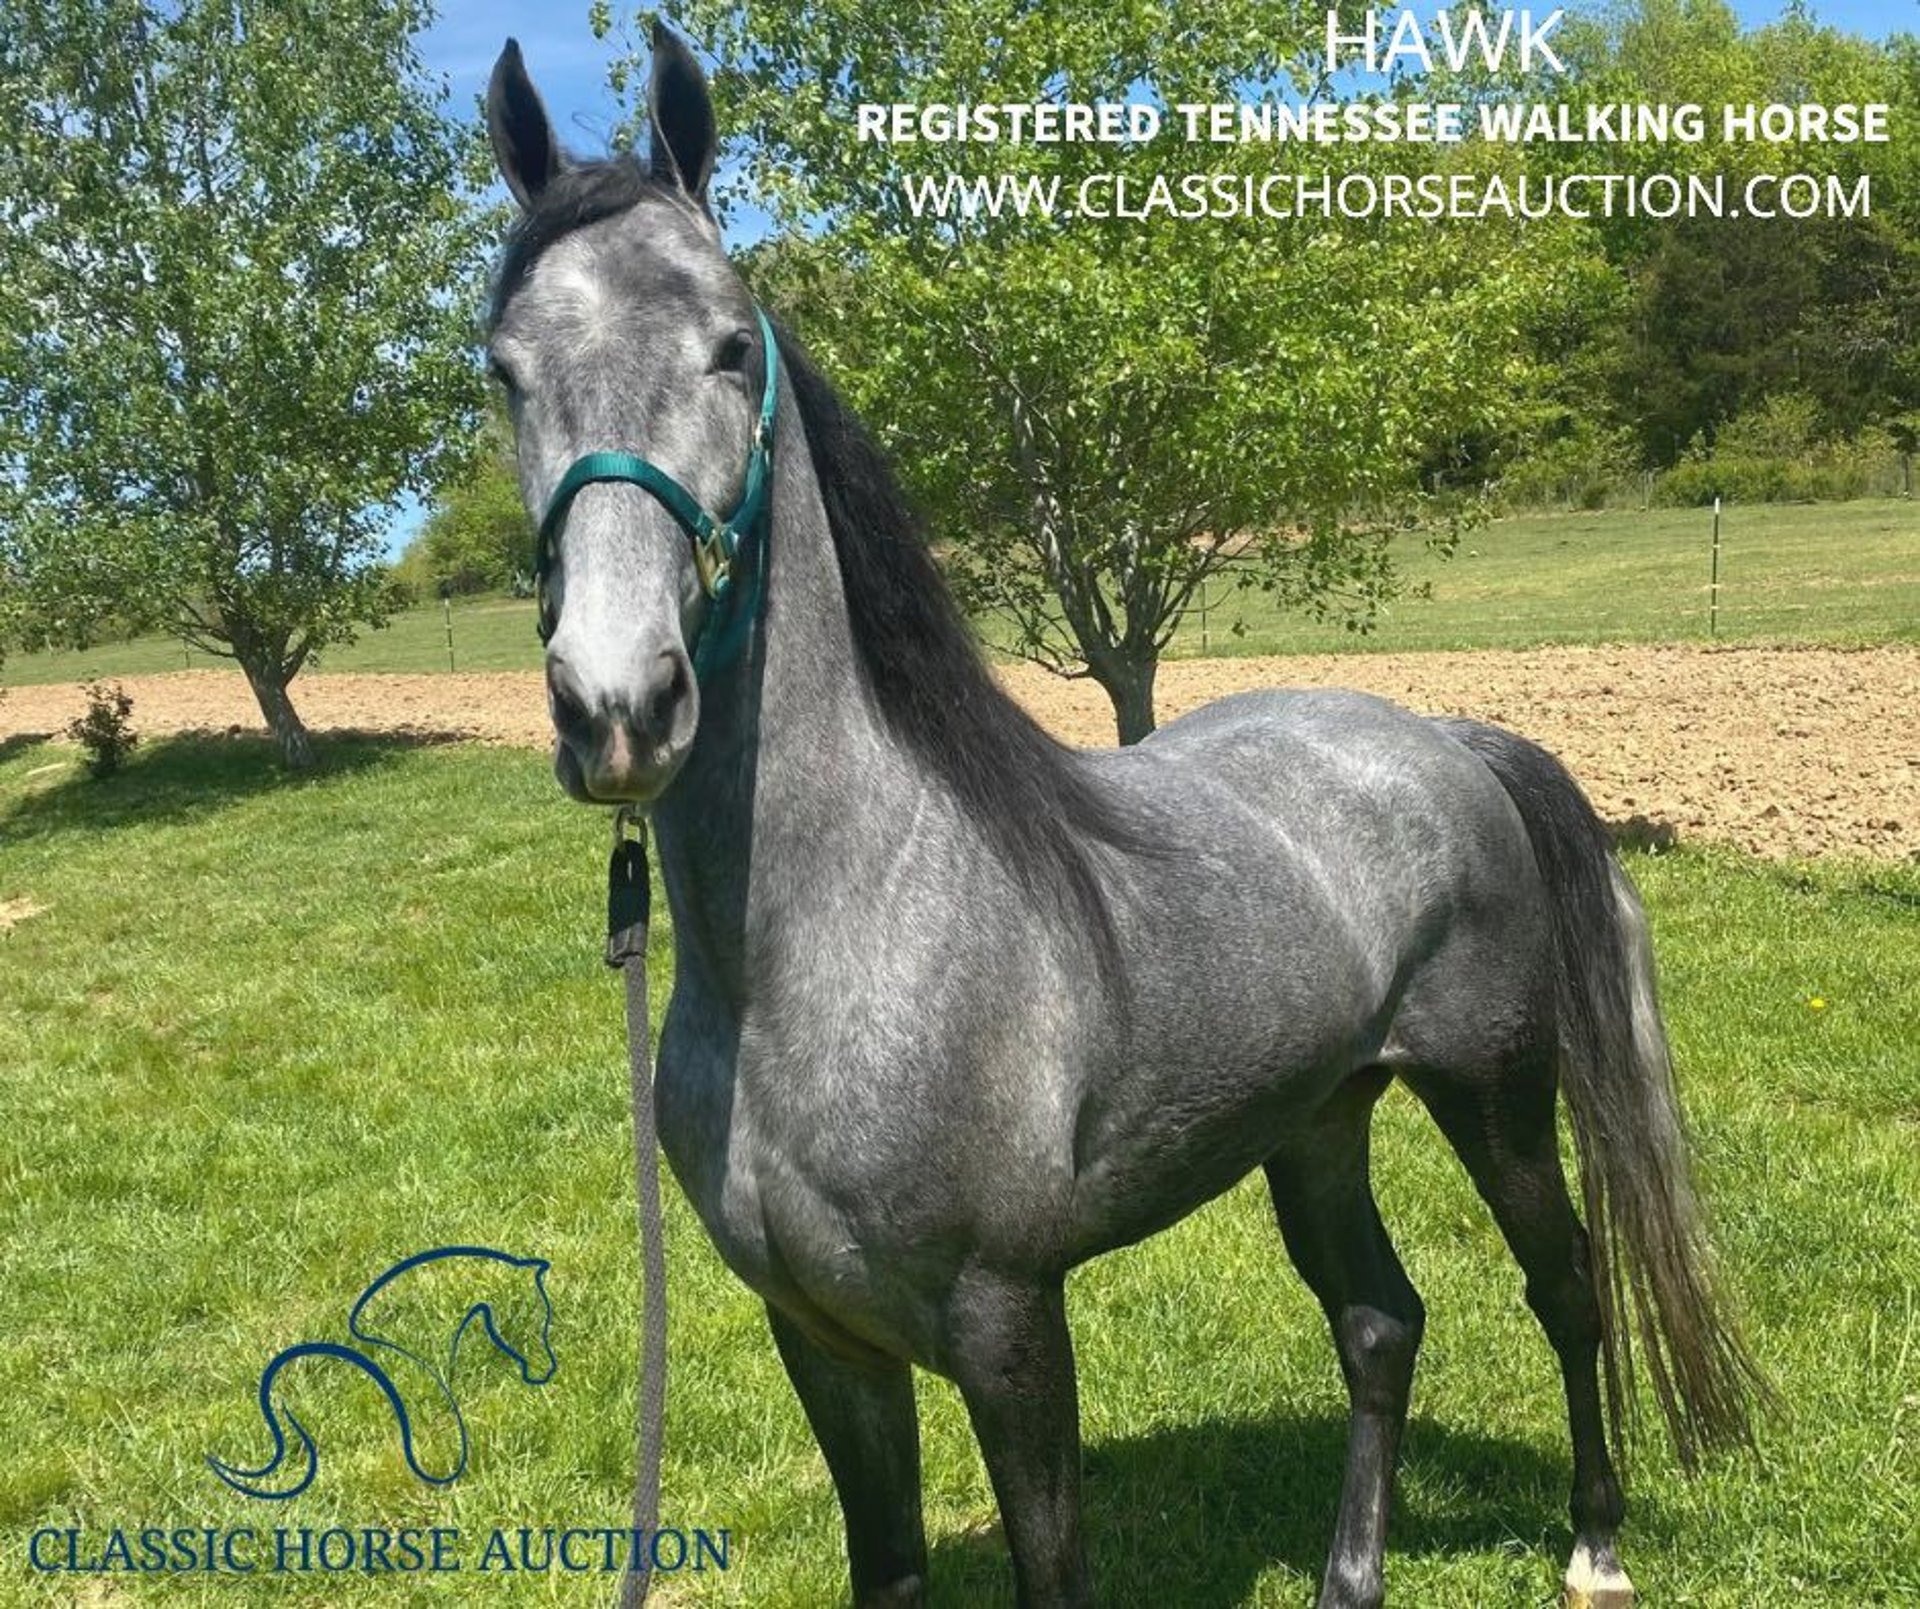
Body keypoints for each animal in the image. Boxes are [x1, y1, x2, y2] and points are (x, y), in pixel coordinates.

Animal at [483, 29, 1761, 1606]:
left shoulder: (1010, 1328)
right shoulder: (825, 1343)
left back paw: (1594, 1542)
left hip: (1498, 1097)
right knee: (1380, 1322)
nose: (618, 703)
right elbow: (889, 1569)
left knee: (1566, 1284)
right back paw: (1350, 1573)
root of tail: (1442, 739)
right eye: (504, 368)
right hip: (1317, 1121)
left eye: (729, 345)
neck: (834, 945)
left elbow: (1055, 1565)